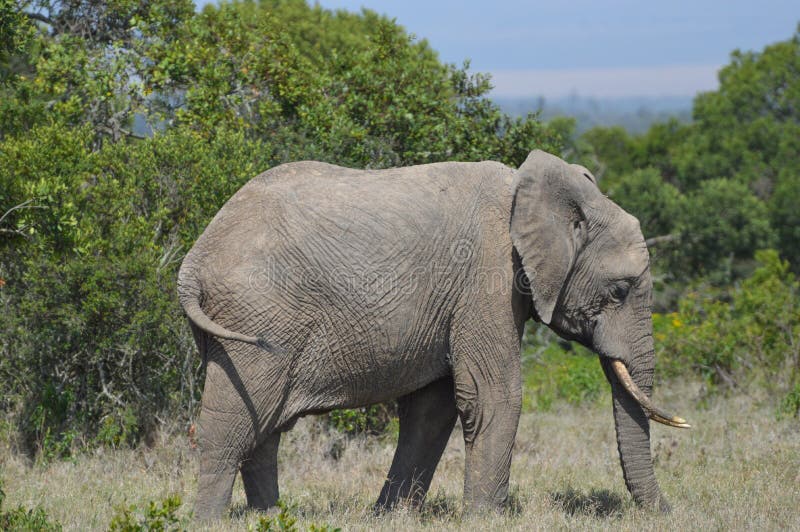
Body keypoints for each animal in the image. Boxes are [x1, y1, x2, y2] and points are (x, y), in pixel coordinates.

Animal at [177, 149, 689, 520]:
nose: (668, 513)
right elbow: (492, 394)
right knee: (232, 424)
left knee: (263, 428)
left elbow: (431, 410)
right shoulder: (487, 279)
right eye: (620, 290)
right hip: (254, 321)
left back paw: (269, 517)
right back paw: (211, 521)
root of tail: (195, 259)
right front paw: (485, 520)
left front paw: (390, 517)